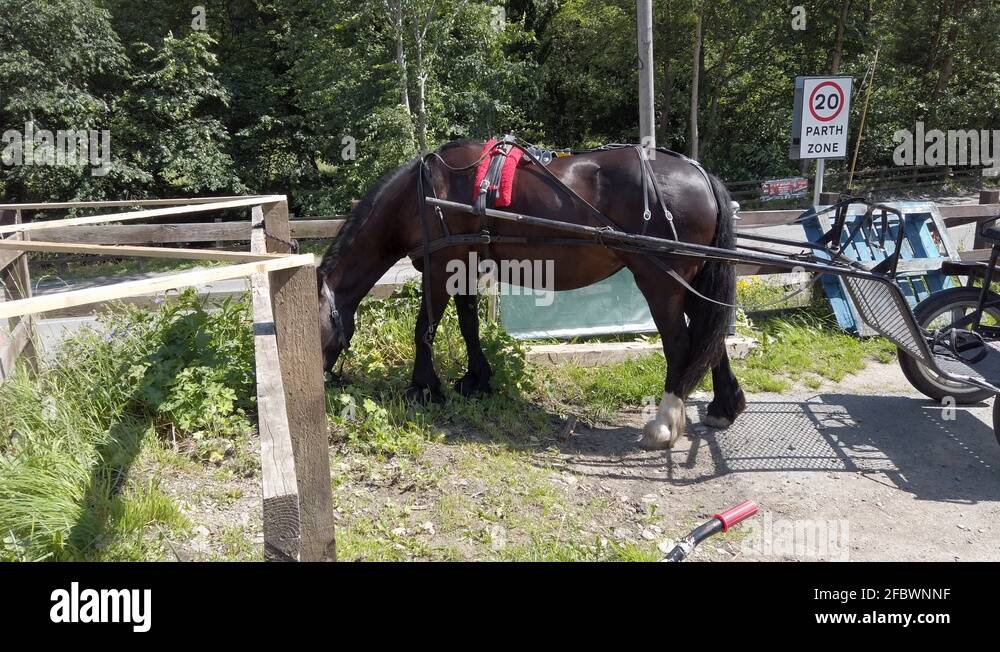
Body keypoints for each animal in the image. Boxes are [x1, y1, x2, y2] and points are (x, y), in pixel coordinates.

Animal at [316, 140, 746, 449]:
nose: (318, 383)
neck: (424, 195)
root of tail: (699, 172)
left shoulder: (441, 268)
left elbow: (425, 326)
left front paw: (423, 387)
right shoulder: (464, 267)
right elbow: (469, 325)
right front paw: (476, 380)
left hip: (661, 281)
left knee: (680, 343)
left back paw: (664, 425)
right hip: (689, 279)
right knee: (709, 337)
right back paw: (725, 406)